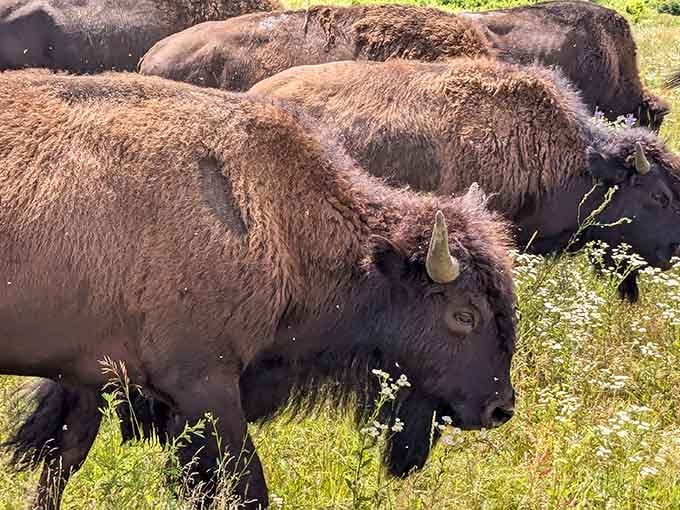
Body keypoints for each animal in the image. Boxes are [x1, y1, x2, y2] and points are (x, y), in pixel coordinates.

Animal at [0, 70, 517, 510]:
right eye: (463, 315)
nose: (501, 408)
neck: (279, 220)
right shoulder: (204, 386)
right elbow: (249, 485)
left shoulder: (89, 378)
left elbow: (61, 464)